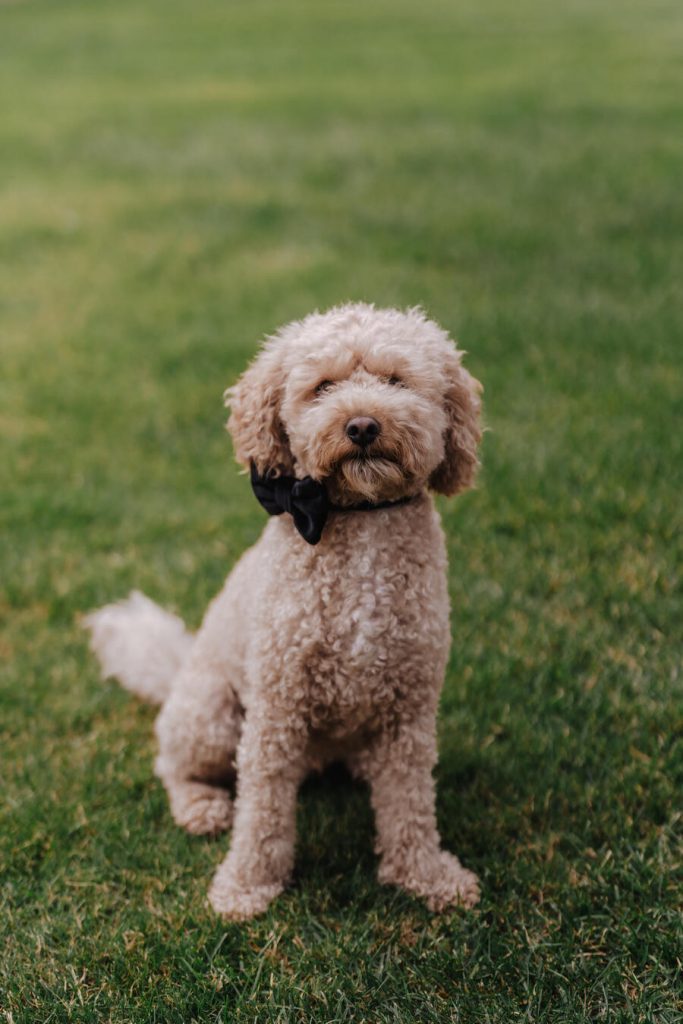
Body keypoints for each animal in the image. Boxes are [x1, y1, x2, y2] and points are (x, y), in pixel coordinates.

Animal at [85, 299, 483, 917]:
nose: (362, 425)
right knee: (172, 764)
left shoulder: (409, 710)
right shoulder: (276, 707)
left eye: (396, 381)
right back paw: (199, 805)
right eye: (322, 387)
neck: (359, 520)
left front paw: (427, 876)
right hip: (210, 713)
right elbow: (263, 812)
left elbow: (412, 805)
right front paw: (245, 887)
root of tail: (179, 673)